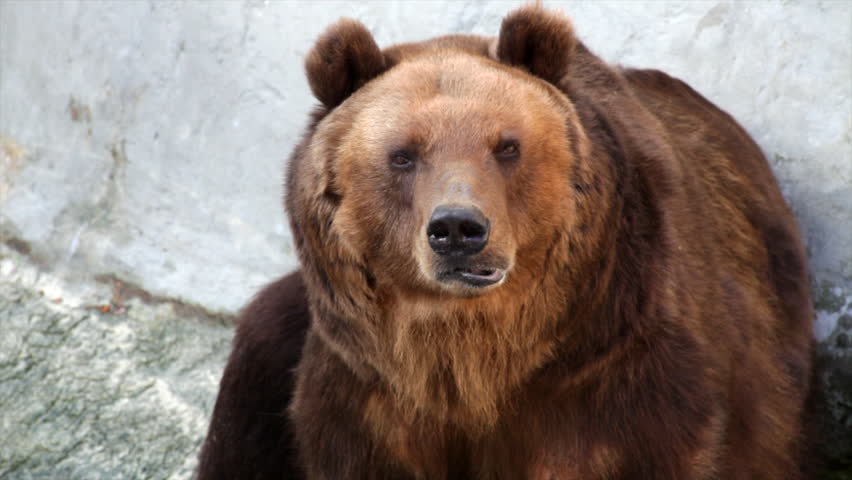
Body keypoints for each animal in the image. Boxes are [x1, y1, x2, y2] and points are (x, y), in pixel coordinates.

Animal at [197, 5, 815, 479]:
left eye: (507, 146)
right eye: (403, 154)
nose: (458, 229)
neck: (478, 355)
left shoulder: (616, 369)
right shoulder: (366, 391)